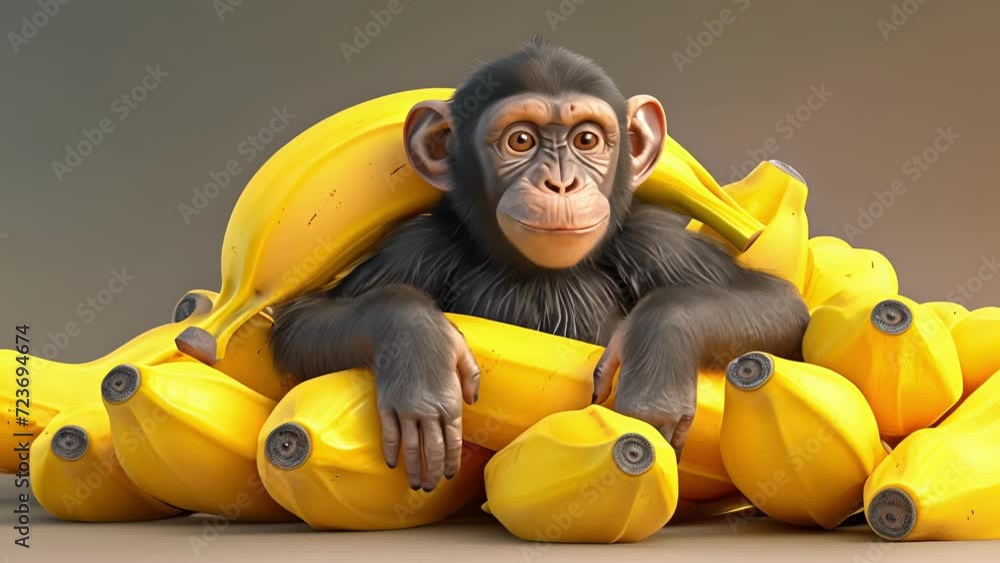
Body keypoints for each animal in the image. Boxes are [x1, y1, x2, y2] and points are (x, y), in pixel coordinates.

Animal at [270, 39, 809, 493]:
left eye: (587, 140)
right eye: (521, 141)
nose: (561, 183)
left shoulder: (655, 240)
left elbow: (778, 306)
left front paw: (658, 354)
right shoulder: (417, 245)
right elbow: (305, 319)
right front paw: (419, 356)